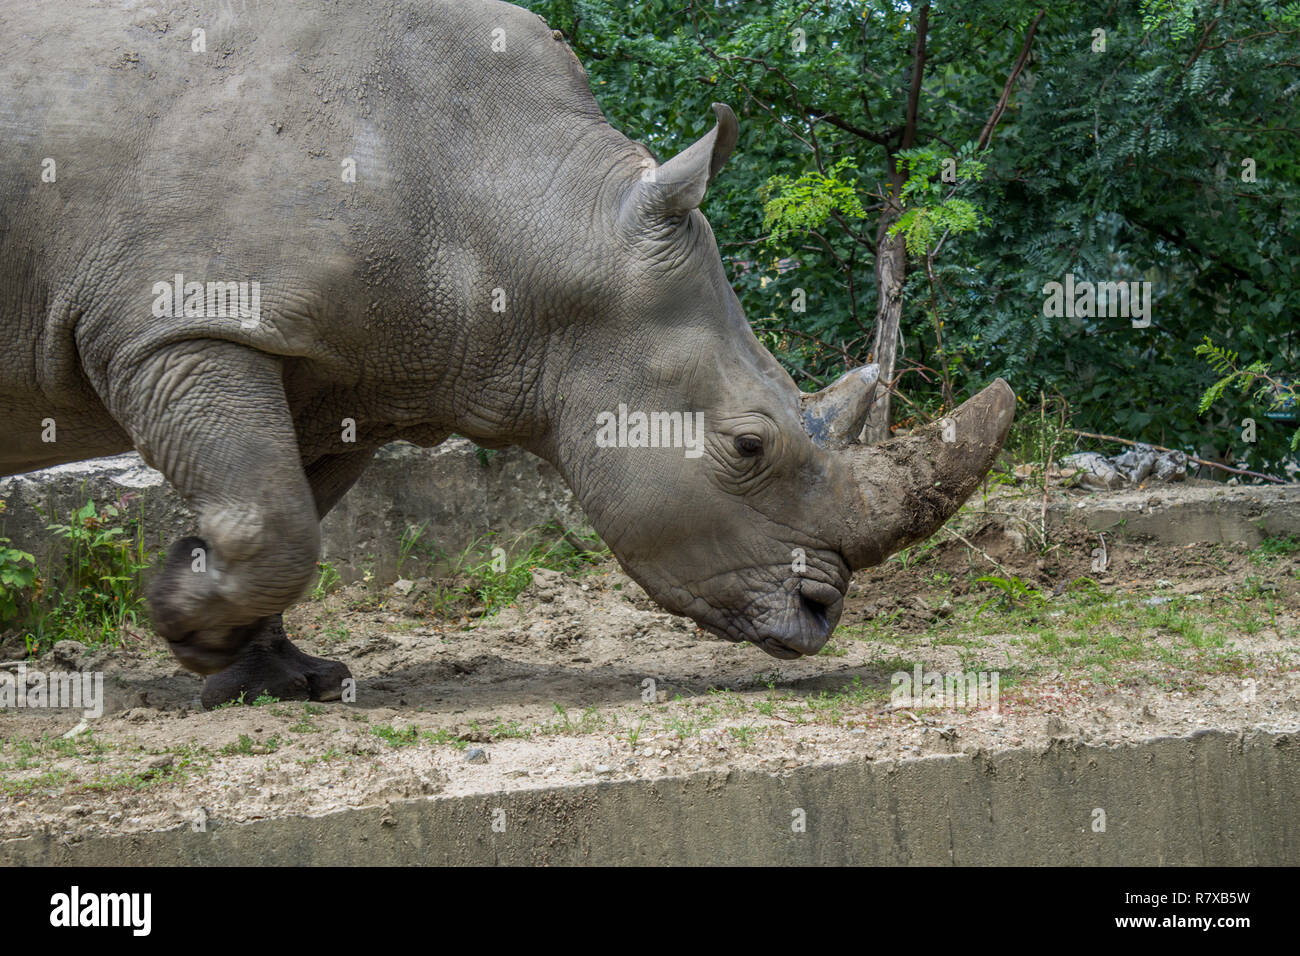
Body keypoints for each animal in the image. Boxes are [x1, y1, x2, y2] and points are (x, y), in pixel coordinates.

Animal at [0, 0, 1014, 708]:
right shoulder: (179, 325)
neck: (518, 210)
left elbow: (287, 510)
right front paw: (184, 615)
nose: (821, 617)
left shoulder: (345, 369)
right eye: (747, 447)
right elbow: (273, 516)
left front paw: (271, 672)